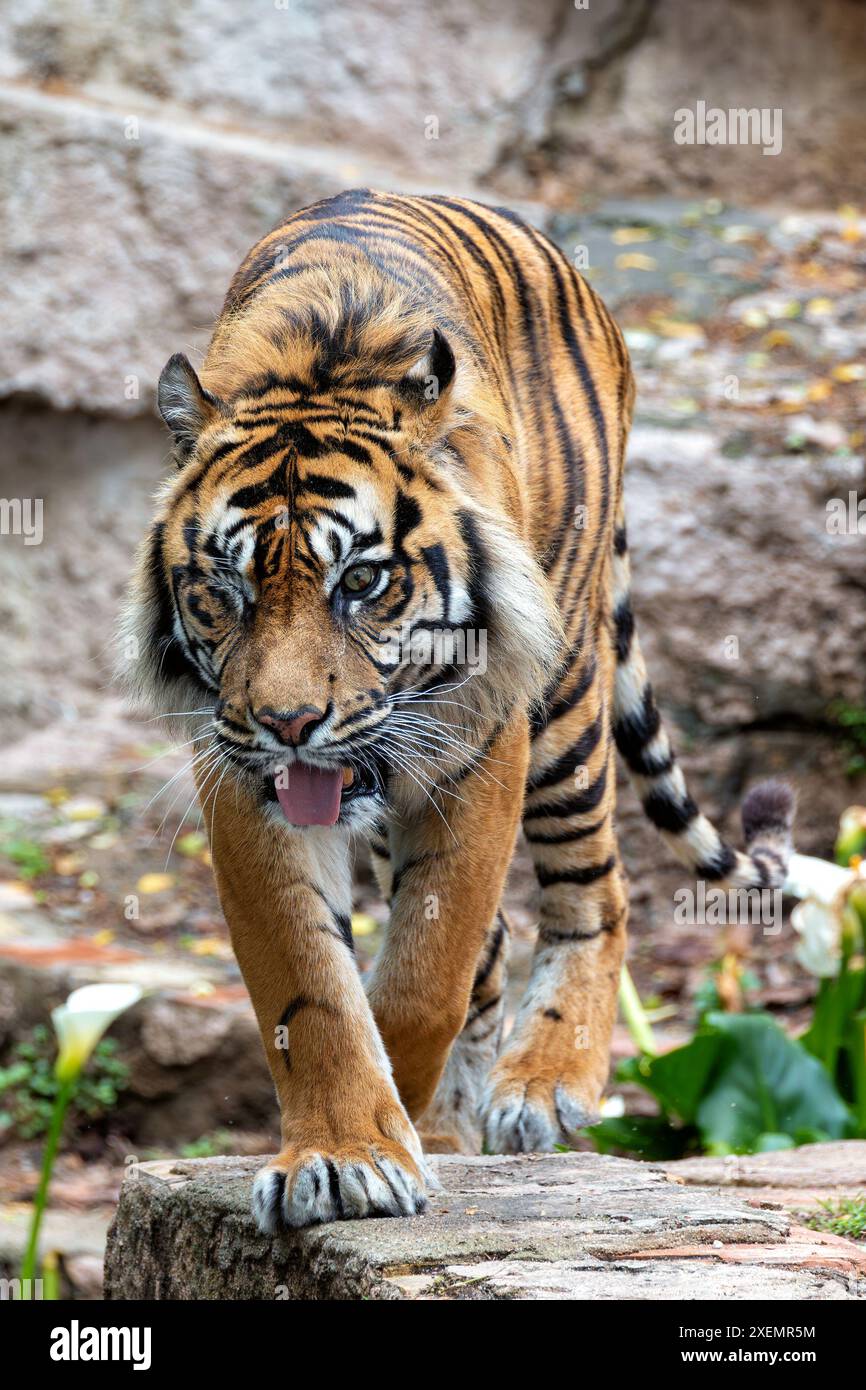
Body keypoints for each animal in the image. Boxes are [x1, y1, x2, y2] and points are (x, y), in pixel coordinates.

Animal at [122, 188, 794, 1231]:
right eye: (223, 590)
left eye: (362, 582)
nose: (287, 724)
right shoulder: (239, 774)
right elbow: (309, 986)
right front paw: (348, 1151)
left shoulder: (482, 743)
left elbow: (423, 974)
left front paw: (395, 1123)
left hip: (565, 696)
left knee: (596, 887)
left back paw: (543, 1082)